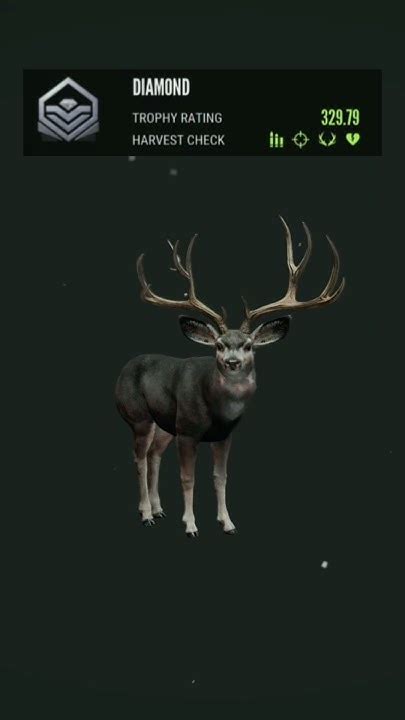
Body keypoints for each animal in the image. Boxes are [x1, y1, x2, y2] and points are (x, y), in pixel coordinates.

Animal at [115, 217, 345, 537]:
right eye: (218, 345)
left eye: (248, 345)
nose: (232, 362)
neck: (219, 408)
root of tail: (125, 368)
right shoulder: (187, 432)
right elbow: (188, 478)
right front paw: (191, 525)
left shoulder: (224, 435)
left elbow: (220, 477)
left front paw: (227, 522)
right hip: (139, 416)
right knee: (138, 458)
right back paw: (147, 513)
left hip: (164, 424)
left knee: (153, 456)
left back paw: (157, 509)